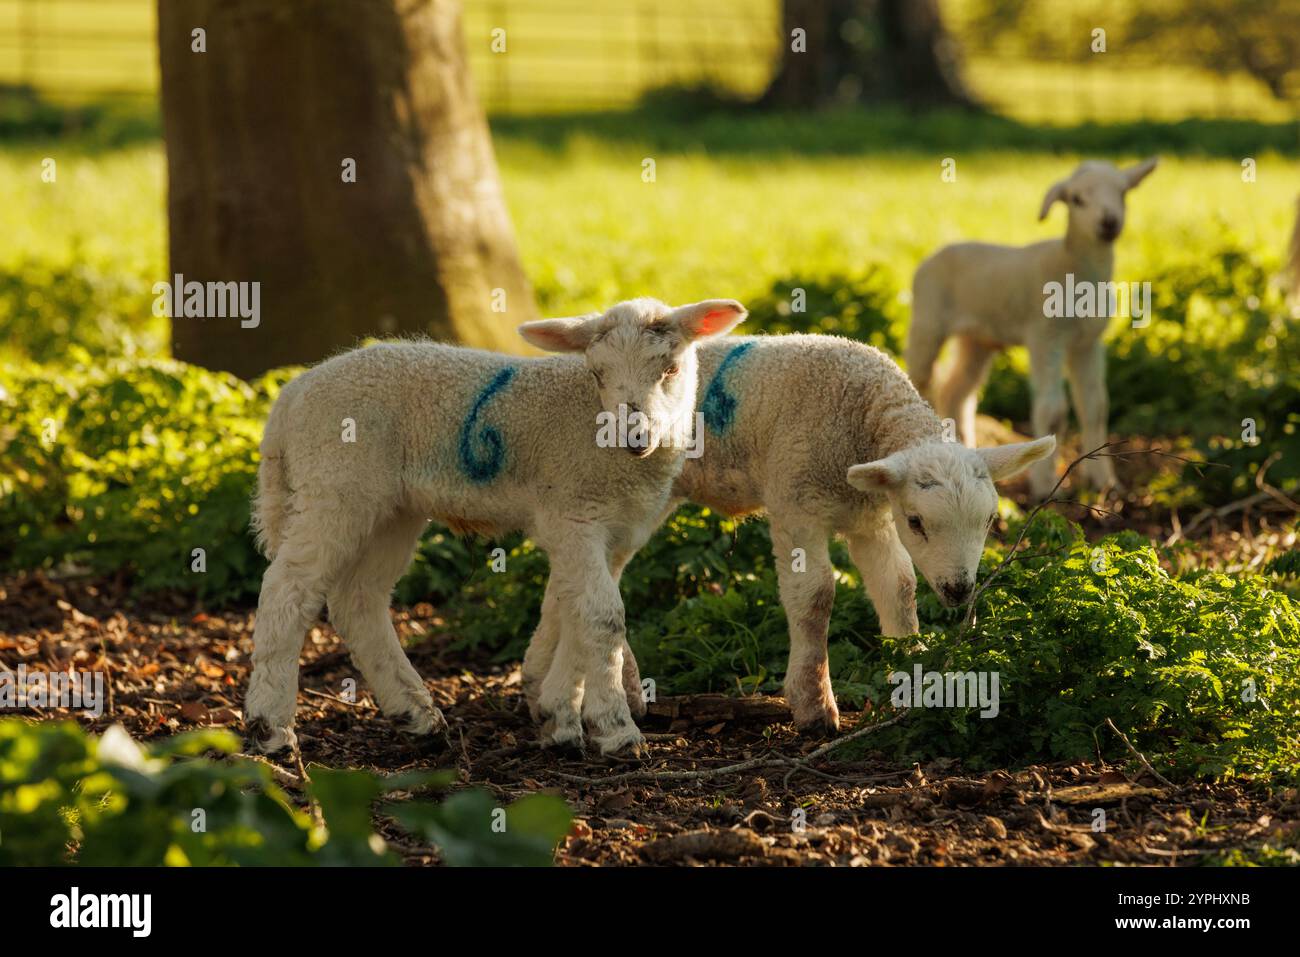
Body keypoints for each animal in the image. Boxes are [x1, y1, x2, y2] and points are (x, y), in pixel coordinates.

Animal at [244, 297, 747, 758]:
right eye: (598, 373)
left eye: (670, 368)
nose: (634, 437)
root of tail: (291, 395)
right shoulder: (576, 515)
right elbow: (603, 618)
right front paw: (616, 730)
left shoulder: (610, 530)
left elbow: (570, 613)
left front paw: (560, 717)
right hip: (336, 483)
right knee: (288, 588)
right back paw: (271, 727)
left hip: (391, 507)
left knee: (359, 599)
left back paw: (416, 714)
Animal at [522, 333, 1055, 734]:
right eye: (917, 522)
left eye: (989, 522)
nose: (959, 590)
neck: (863, 411)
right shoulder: (797, 499)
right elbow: (815, 594)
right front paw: (813, 703)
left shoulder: (868, 515)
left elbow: (899, 587)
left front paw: (914, 680)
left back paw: (543, 684)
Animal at [907, 158, 1157, 499]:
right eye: (1077, 199)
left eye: (1123, 192)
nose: (1109, 222)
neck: (1074, 267)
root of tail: (933, 255)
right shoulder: (1045, 336)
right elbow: (1052, 412)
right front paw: (1046, 487)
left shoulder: (1087, 342)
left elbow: (1095, 406)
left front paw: (1105, 482)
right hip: (927, 319)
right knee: (920, 380)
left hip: (977, 338)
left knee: (956, 392)